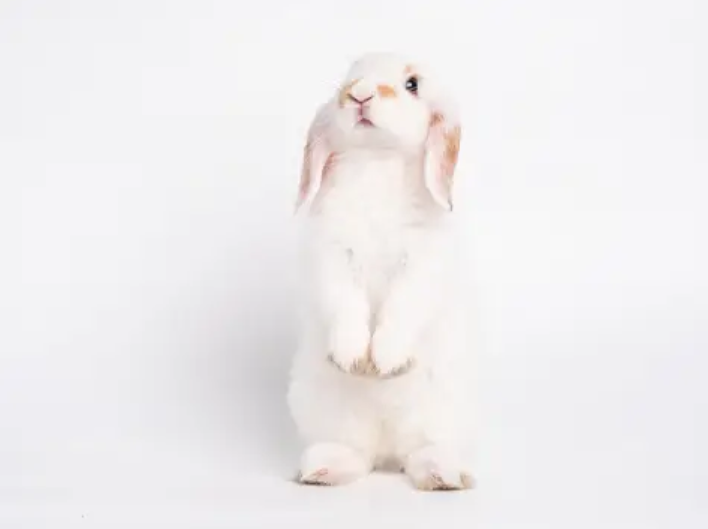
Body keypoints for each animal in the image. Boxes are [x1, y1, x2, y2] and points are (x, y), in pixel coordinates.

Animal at [286, 52, 475, 491]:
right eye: (350, 74)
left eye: (412, 84)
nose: (358, 94)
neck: (377, 164)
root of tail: (387, 452)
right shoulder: (333, 255)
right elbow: (346, 305)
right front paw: (355, 360)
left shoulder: (421, 262)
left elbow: (402, 307)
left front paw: (385, 363)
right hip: (323, 409)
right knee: (357, 456)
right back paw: (322, 470)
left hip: (440, 413)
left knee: (420, 453)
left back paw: (444, 475)